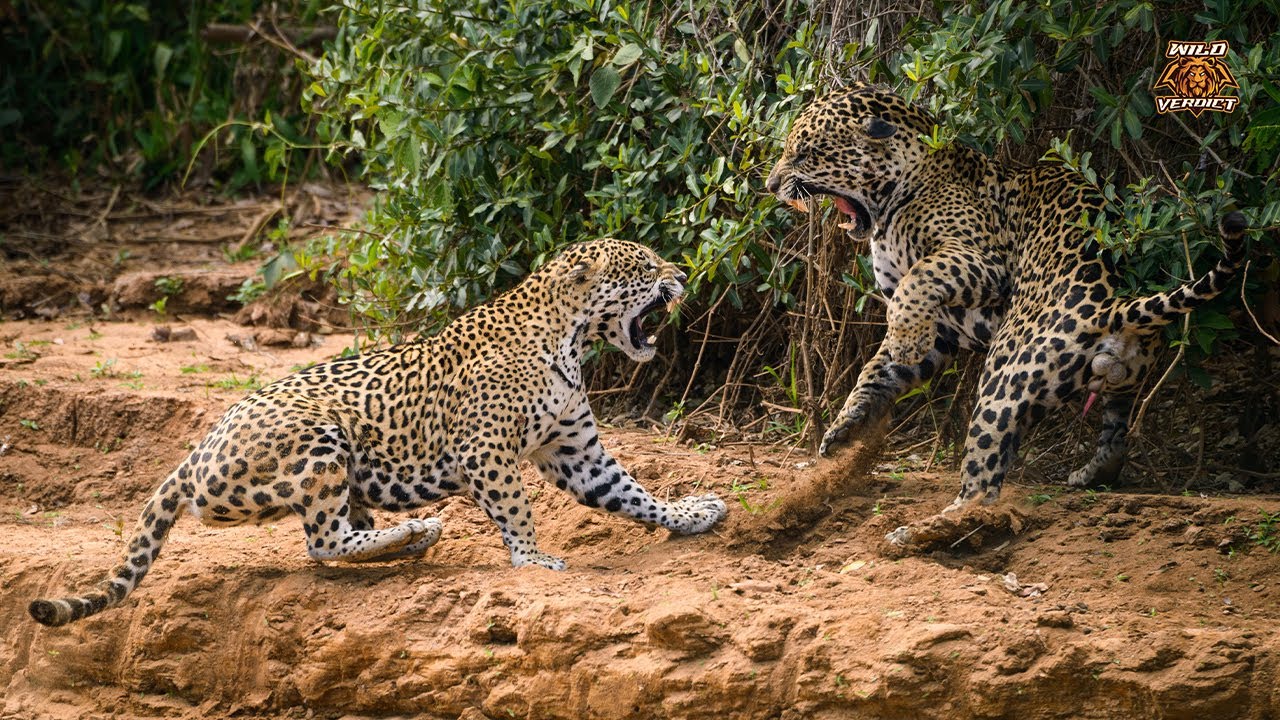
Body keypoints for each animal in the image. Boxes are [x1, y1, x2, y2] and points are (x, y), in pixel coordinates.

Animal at [29, 239, 728, 627]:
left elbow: (631, 492)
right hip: (319, 441)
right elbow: (516, 508)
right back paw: (416, 530)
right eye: (644, 267)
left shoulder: (575, 448)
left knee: (339, 536)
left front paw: (692, 514)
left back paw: (410, 538)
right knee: (322, 543)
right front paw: (533, 559)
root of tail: (196, 450)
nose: (682, 276)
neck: (571, 340)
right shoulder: (486, 449)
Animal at [765, 83, 1247, 545]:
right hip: (1123, 374)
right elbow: (877, 369)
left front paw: (902, 344)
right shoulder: (944, 329)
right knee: (1115, 427)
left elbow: (913, 283)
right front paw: (848, 426)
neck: (899, 194)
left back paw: (921, 531)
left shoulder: (981, 258)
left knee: (982, 486)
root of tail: (1112, 307)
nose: (771, 185)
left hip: (1005, 378)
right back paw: (1093, 474)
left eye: (804, 153)